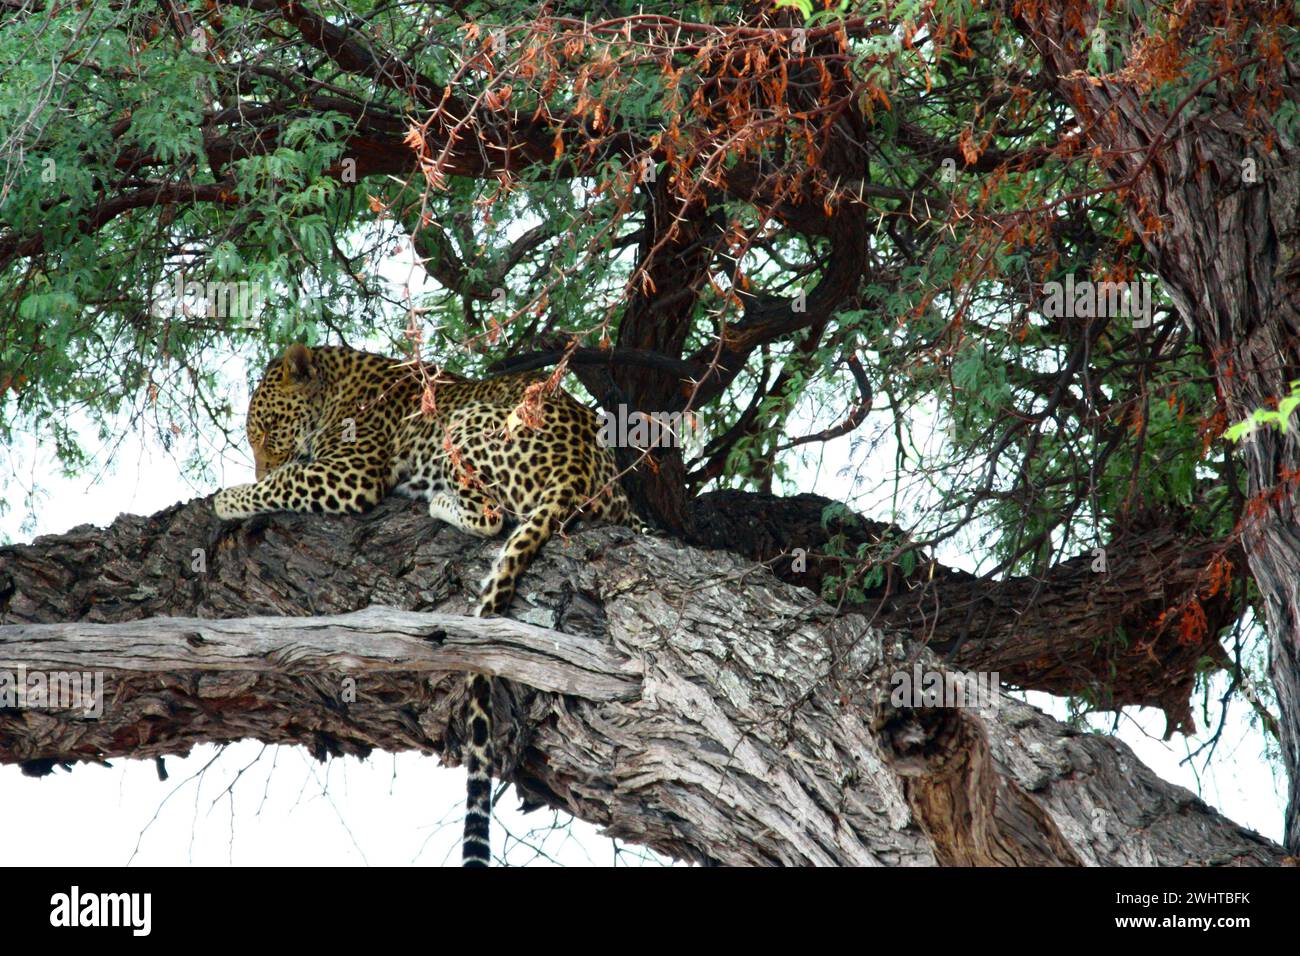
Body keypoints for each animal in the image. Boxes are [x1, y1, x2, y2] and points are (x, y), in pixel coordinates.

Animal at [213, 343, 641, 866]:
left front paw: (227, 497)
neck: (336, 383)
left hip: (466, 422)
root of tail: (576, 468)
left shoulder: (348, 473)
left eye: (271, 429)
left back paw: (438, 500)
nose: (260, 466)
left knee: (490, 515)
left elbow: (285, 480)